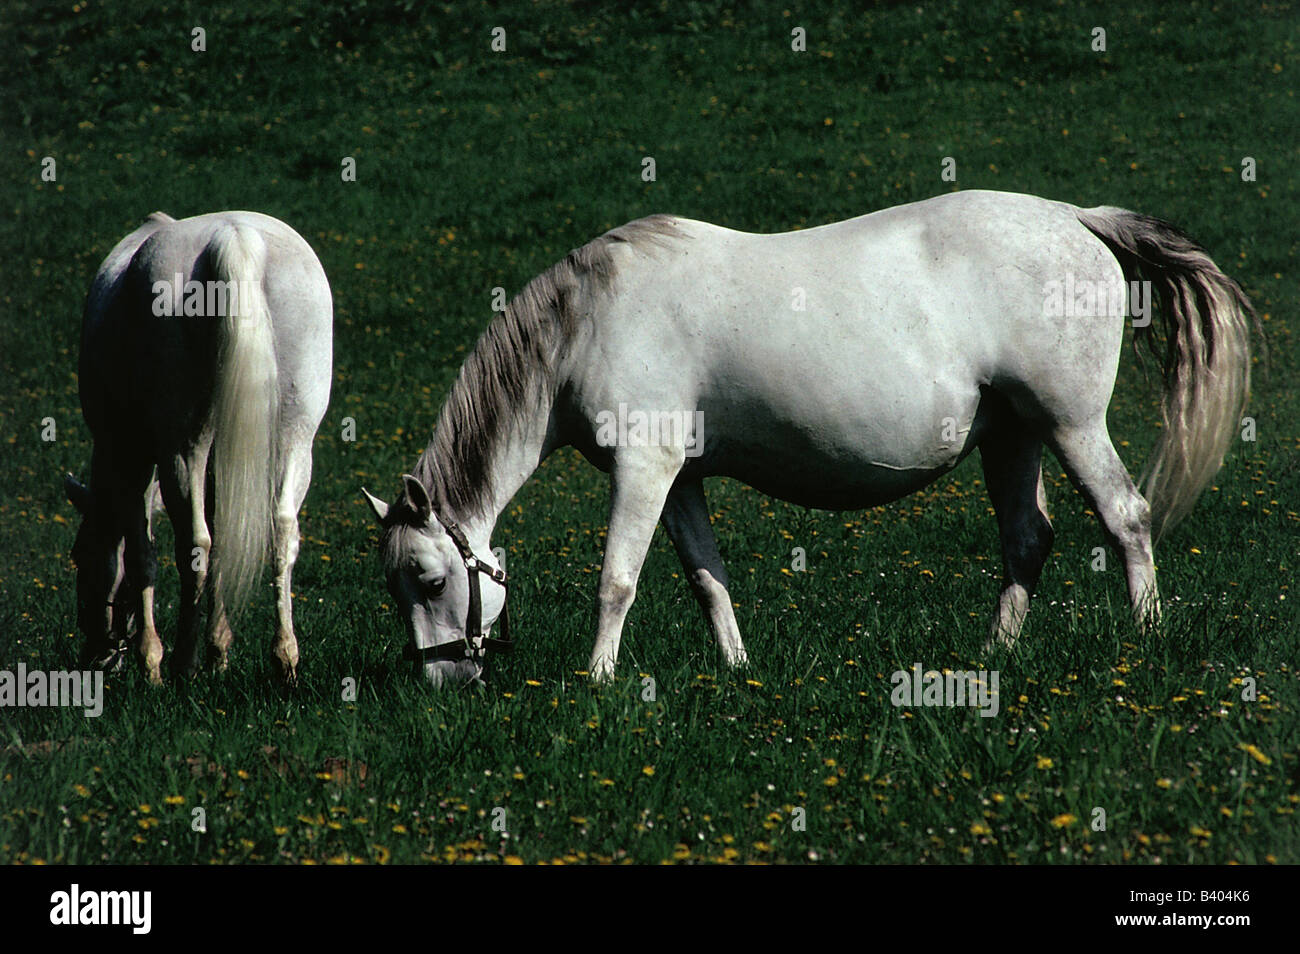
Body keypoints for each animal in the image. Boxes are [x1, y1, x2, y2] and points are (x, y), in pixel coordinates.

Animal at [66, 210, 333, 684]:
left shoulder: (129, 457)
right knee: (281, 531)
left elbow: (142, 553)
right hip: (296, 438)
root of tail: (235, 237)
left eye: (80, 556)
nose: (97, 655)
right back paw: (283, 658)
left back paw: (183, 665)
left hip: (183, 447)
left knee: (195, 543)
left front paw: (150, 659)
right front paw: (219, 651)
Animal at [364, 189, 1256, 687]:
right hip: (1013, 436)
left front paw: (598, 683)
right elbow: (707, 579)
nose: (442, 682)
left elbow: (617, 581)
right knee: (1028, 539)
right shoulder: (680, 479)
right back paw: (995, 655)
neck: (587, 321)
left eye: (429, 580)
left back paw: (1144, 636)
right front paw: (737, 670)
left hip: (1071, 425)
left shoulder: (643, 467)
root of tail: (1078, 220)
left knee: (1126, 518)